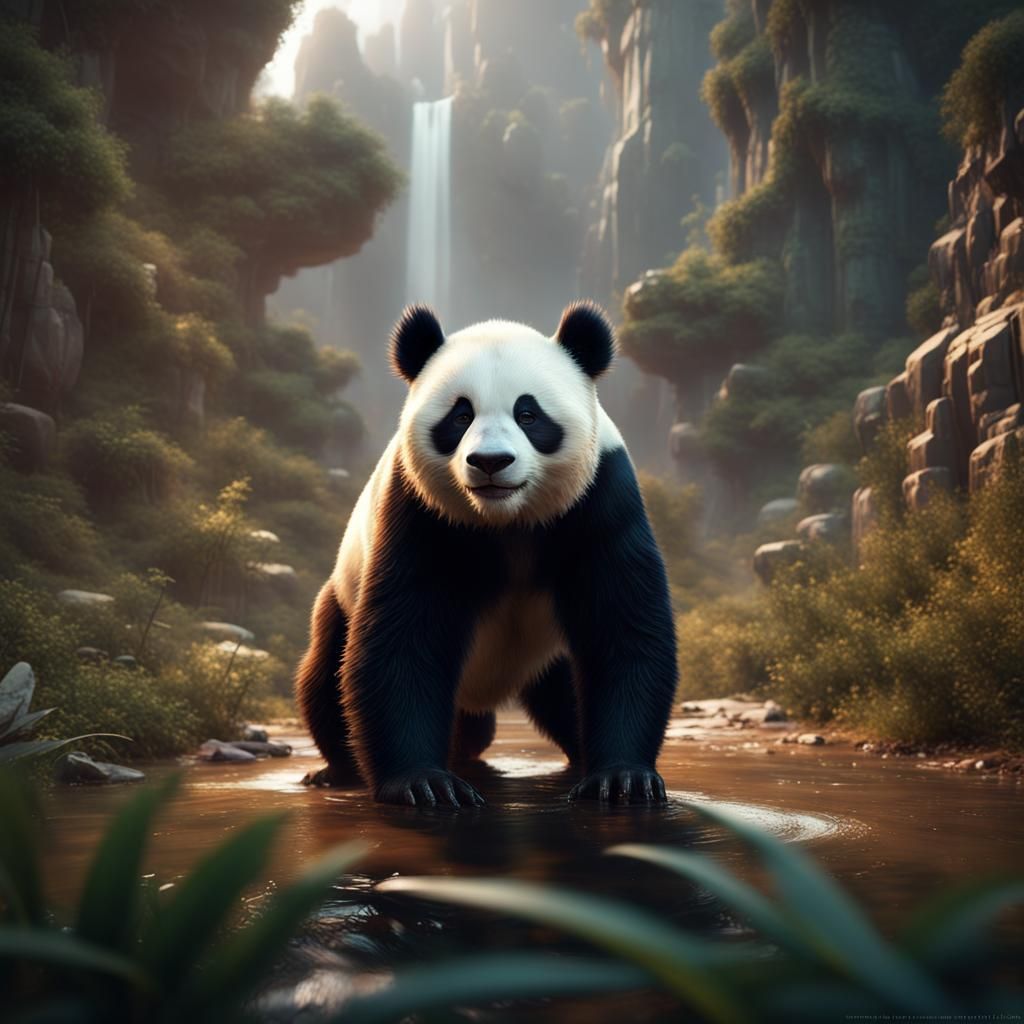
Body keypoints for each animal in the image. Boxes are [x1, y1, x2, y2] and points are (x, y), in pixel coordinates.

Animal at [294, 301, 678, 807]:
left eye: (529, 414)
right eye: (460, 416)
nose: (490, 461)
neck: (506, 519)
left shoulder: (601, 499)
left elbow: (623, 629)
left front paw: (622, 778)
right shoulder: (420, 510)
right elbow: (404, 637)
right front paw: (424, 783)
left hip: (549, 655)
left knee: (565, 695)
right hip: (342, 597)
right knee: (324, 676)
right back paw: (338, 769)